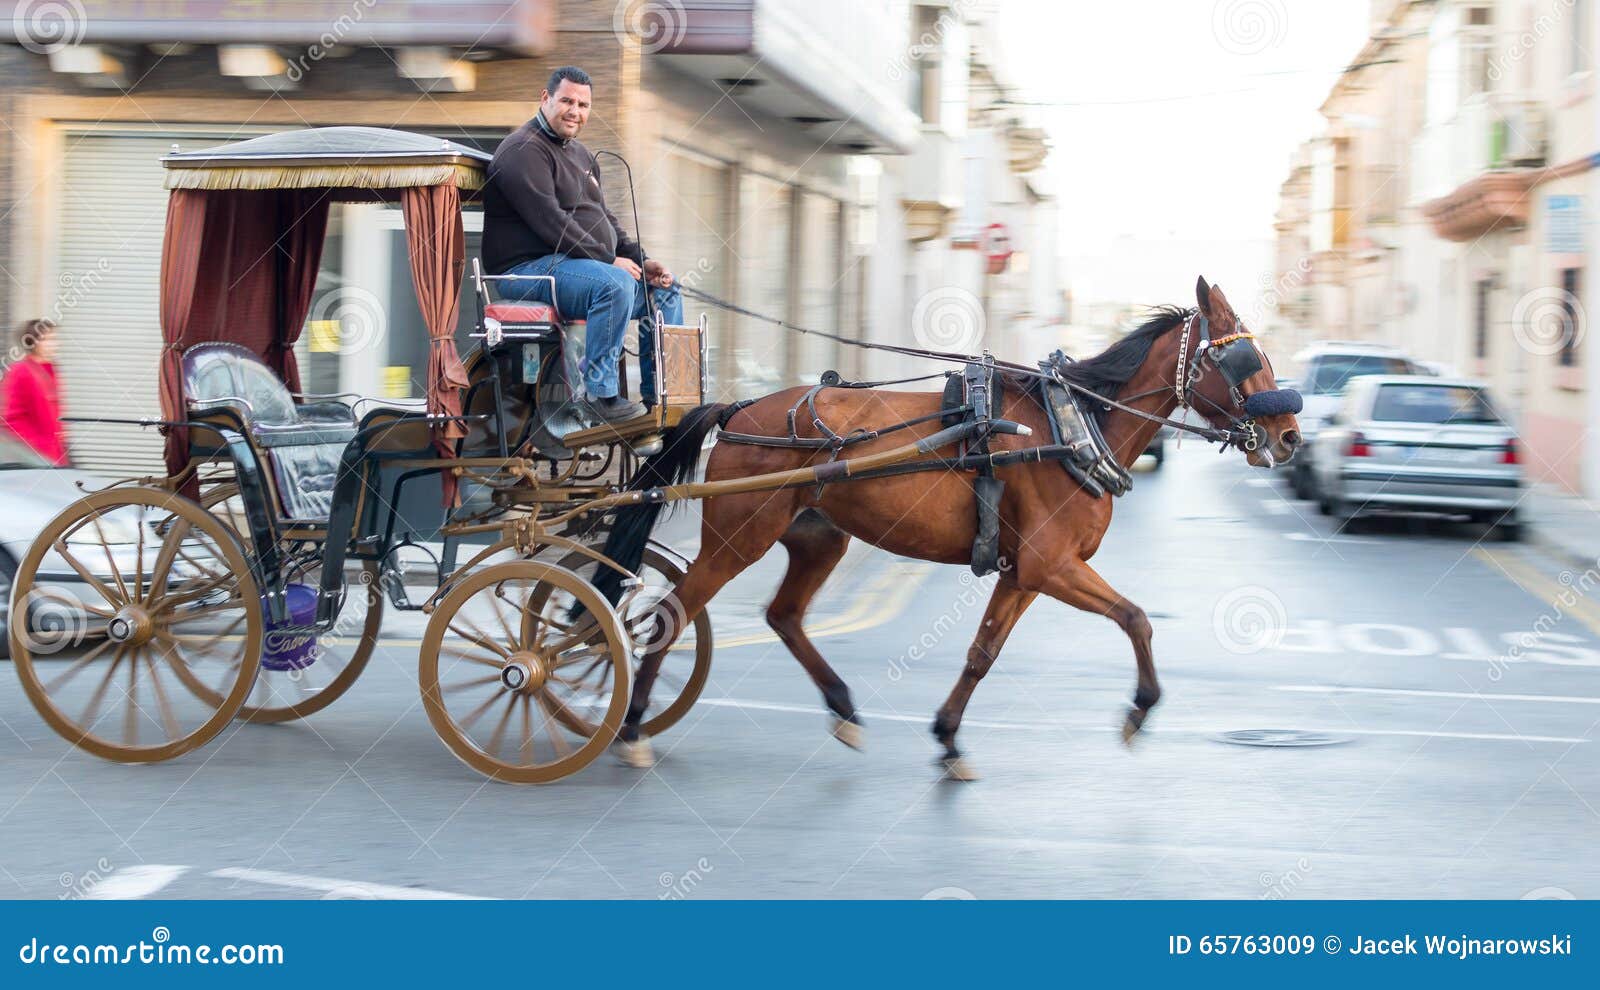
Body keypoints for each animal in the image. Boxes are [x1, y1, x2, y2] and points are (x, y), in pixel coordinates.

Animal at [600, 277, 1301, 779]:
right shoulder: (1052, 565)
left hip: (819, 536)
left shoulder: (1024, 573)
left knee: (784, 616)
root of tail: (740, 409)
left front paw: (948, 738)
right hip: (738, 538)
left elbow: (982, 652)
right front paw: (1140, 708)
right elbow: (1136, 618)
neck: (1071, 425)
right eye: (1245, 358)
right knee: (674, 612)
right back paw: (631, 729)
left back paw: (843, 708)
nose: (1289, 436)